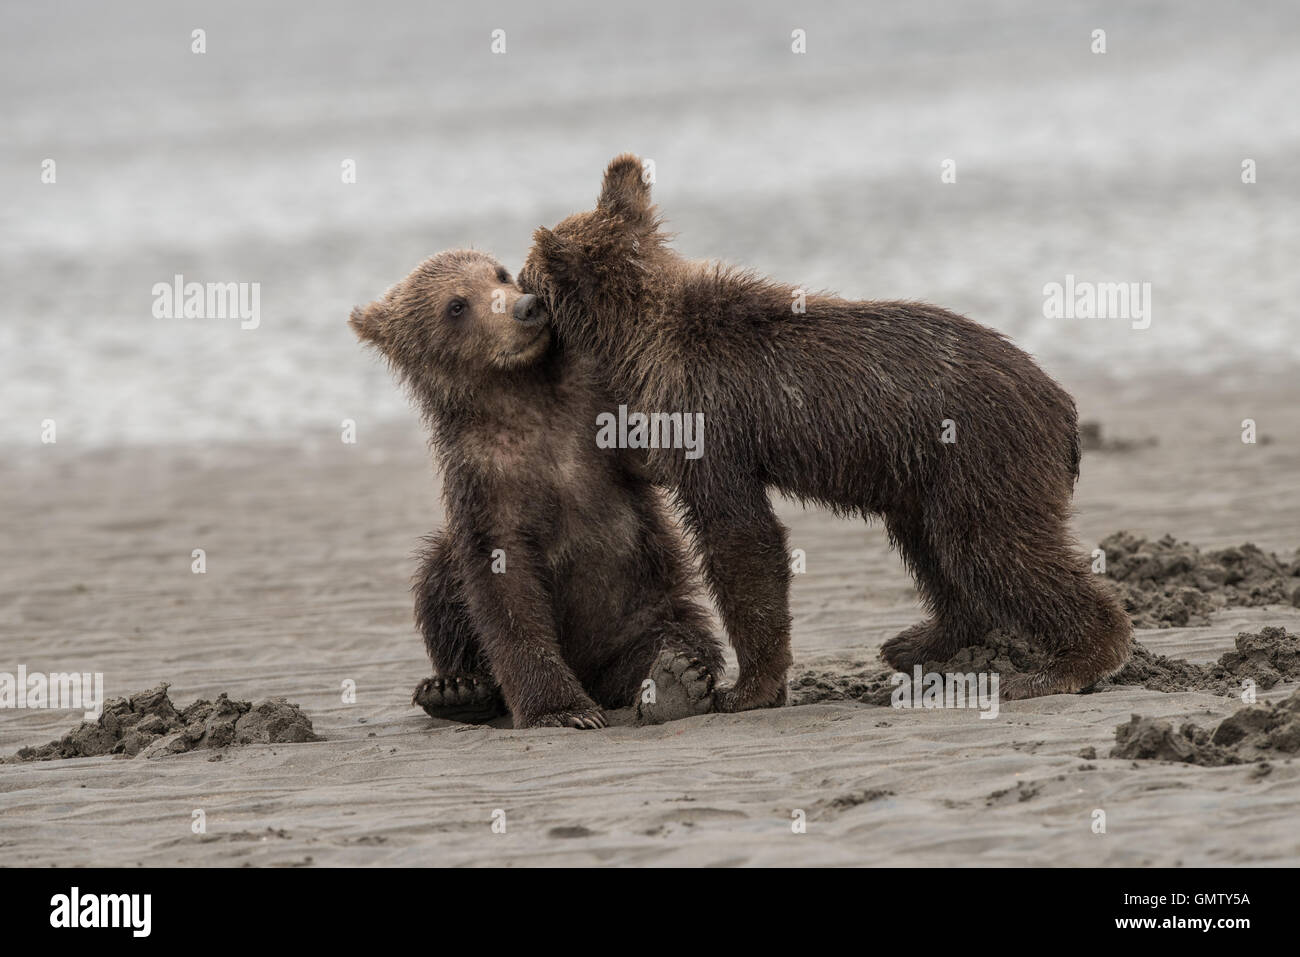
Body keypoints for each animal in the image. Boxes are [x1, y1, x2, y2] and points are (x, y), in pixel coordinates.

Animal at [349, 249, 725, 728]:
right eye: (456, 305)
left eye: (501, 275)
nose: (527, 307)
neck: (523, 399)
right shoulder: (484, 480)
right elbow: (506, 591)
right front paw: (563, 710)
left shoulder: (593, 415)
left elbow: (653, 452)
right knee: (437, 576)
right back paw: (456, 689)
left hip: (649, 605)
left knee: (676, 638)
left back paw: (674, 683)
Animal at [517, 154, 1133, 710]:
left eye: (524, 274)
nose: (518, 297)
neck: (638, 339)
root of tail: (1063, 404)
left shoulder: (708, 421)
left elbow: (740, 538)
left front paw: (747, 688)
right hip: (927, 474)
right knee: (935, 548)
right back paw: (919, 642)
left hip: (984, 451)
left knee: (995, 546)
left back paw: (1065, 664)